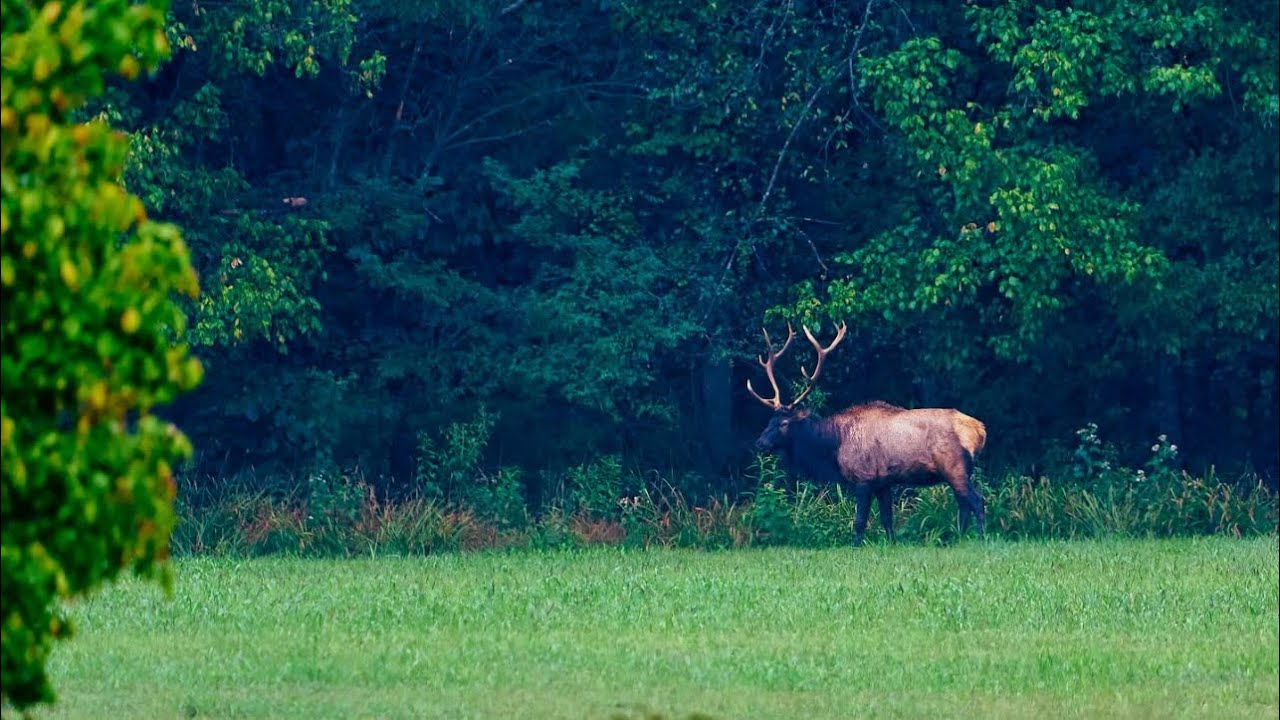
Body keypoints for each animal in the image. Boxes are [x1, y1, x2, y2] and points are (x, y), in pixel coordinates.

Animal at [747, 322, 988, 545]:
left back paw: (981, 539)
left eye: (784, 422)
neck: (833, 446)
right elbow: (887, 519)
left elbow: (860, 520)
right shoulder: (883, 481)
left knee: (976, 500)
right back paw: (957, 538)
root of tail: (979, 430)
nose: (759, 443)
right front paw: (892, 543)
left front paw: (855, 546)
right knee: (964, 504)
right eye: (769, 420)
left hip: (954, 466)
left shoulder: (864, 477)